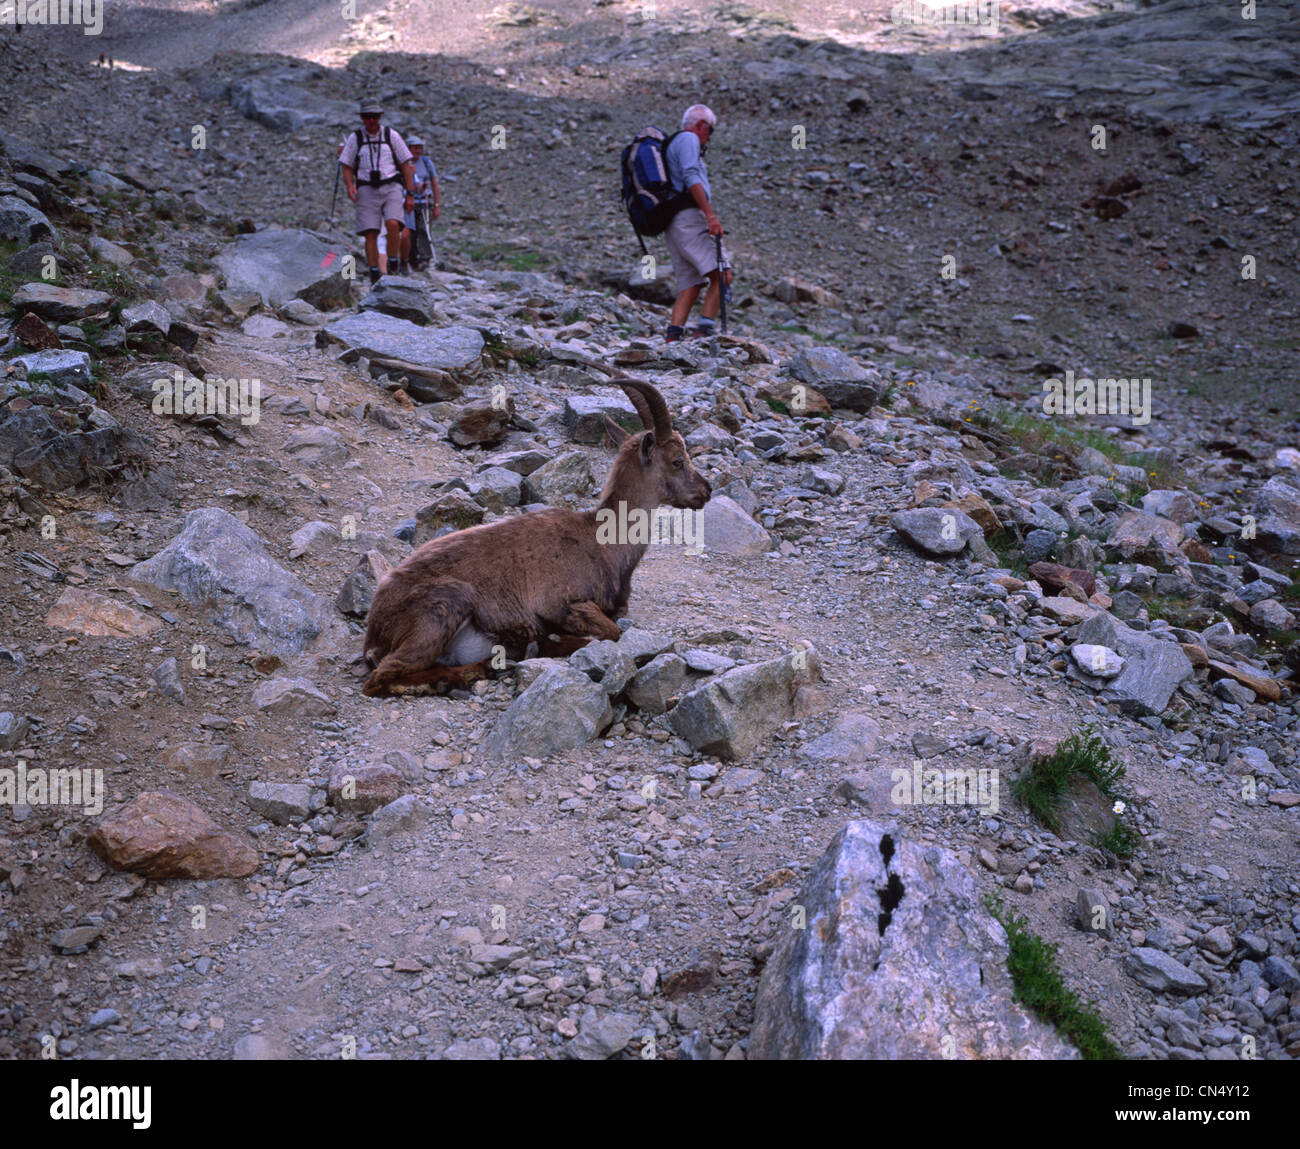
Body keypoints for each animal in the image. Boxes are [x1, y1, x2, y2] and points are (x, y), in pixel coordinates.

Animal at [361, 375, 711, 697]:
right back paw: (473, 671)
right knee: (380, 678)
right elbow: (610, 631)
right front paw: (554, 640)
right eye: (677, 461)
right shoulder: (559, 603)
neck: (602, 540)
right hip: (444, 605)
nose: (705, 491)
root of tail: (375, 632)